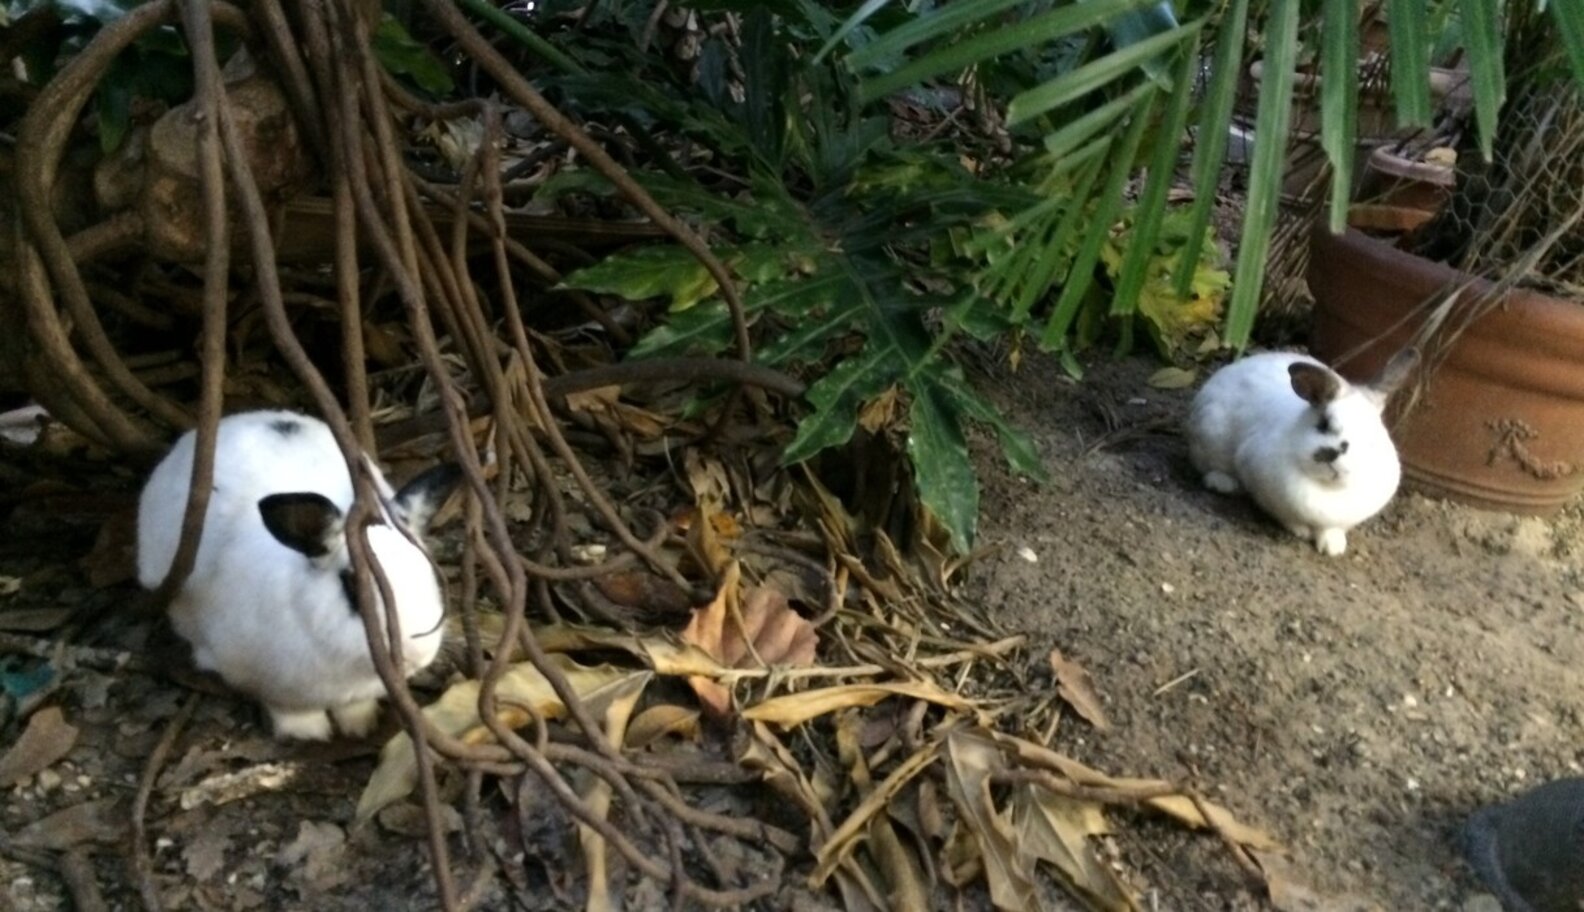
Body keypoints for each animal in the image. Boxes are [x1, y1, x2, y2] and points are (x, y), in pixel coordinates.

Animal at [136, 410, 461, 740]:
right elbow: (290, 709)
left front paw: (359, 724)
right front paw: (308, 733)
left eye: (426, 570)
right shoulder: (267, 684)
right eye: (353, 587)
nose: (417, 655)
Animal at [1186, 349, 1417, 556]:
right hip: (1210, 436)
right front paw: (1302, 531)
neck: (1327, 489)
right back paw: (1223, 484)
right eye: (1323, 424)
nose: (1333, 457)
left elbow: (1332, 530)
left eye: (1373, 437)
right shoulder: (1264, 488)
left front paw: (1333, 547)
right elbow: (1288, 518)